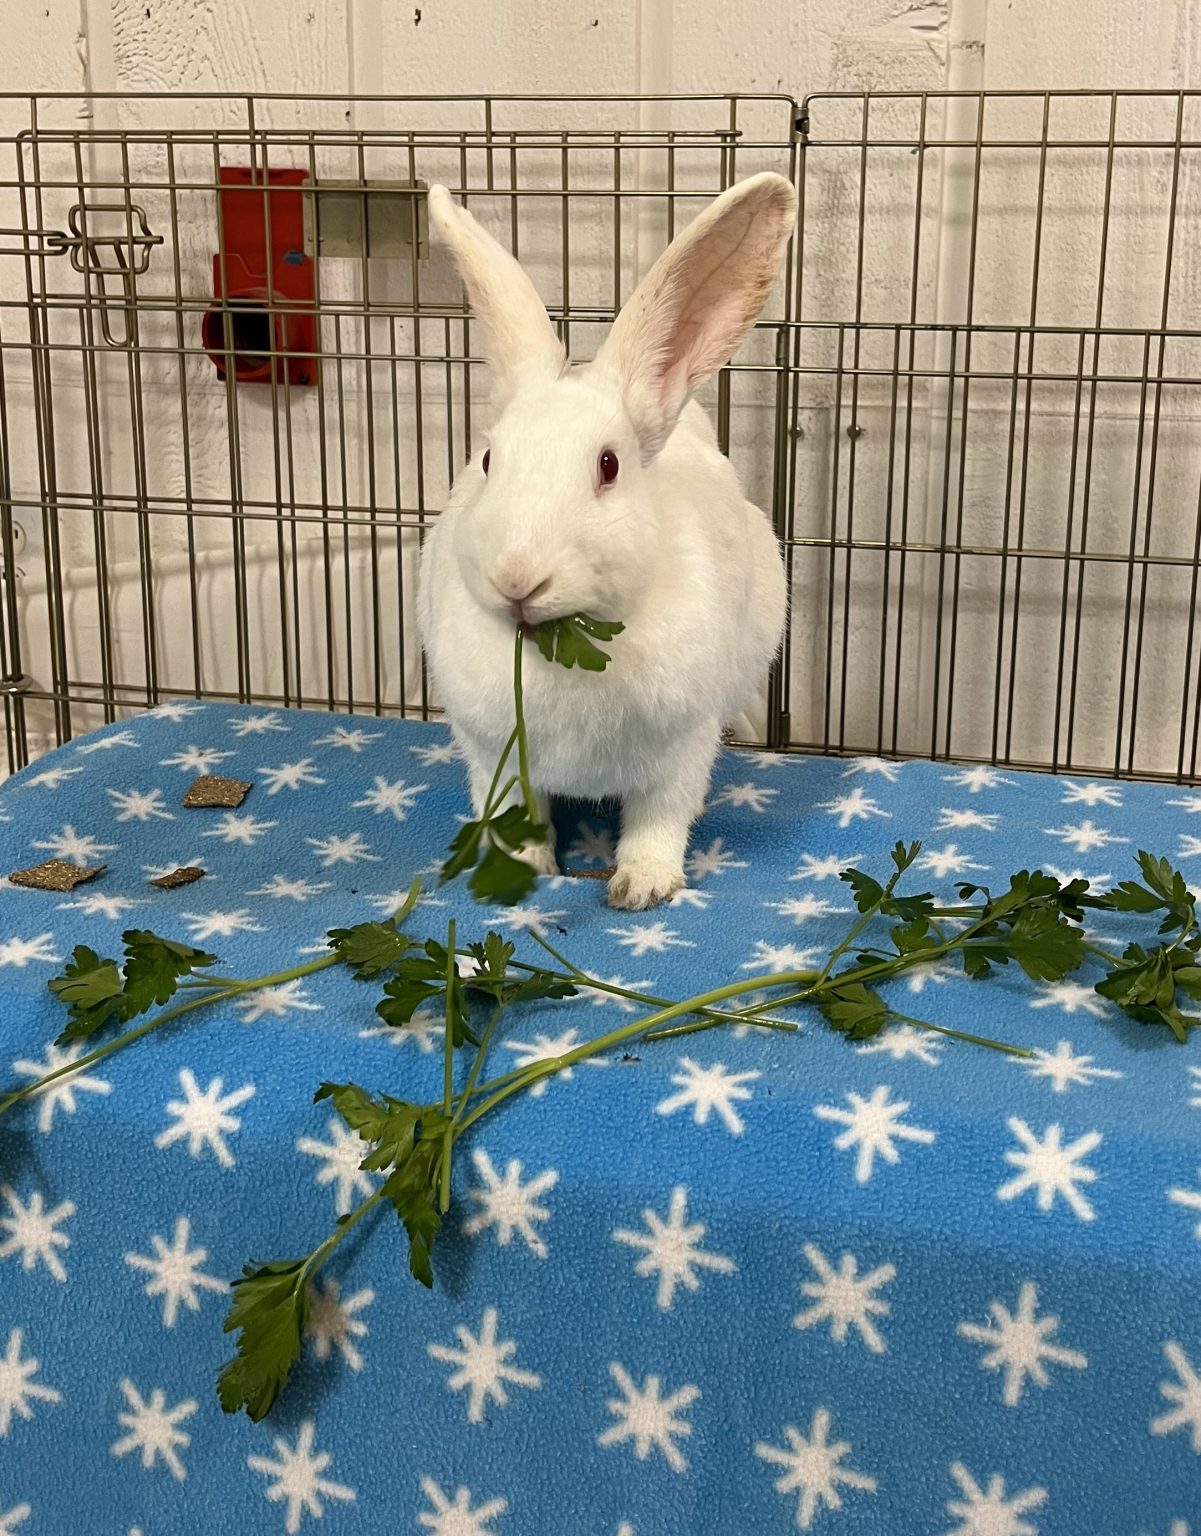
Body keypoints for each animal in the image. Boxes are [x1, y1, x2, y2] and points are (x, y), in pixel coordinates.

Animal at [417, 172, 795, 911]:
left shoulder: (680, 752)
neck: (559, 642)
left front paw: (641, 888)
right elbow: (515, 812)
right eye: (487, 461)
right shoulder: (491, 754)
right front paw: (526, 868)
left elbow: (659, 822)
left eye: (609, 466)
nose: (517, 577)